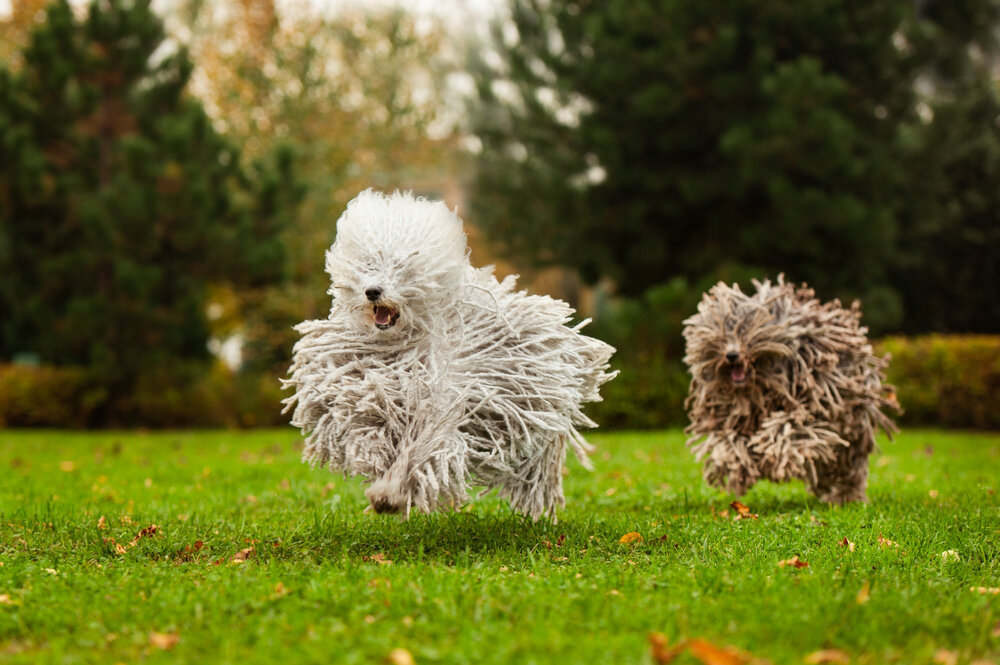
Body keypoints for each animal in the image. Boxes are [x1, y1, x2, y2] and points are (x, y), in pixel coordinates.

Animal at [282, 188, 616, 520]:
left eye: (403, 267)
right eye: (369, 264)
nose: (373, 291)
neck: (403, 341)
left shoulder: (441, 402)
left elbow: (421, 448)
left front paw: (389, 493)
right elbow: (363, 420)